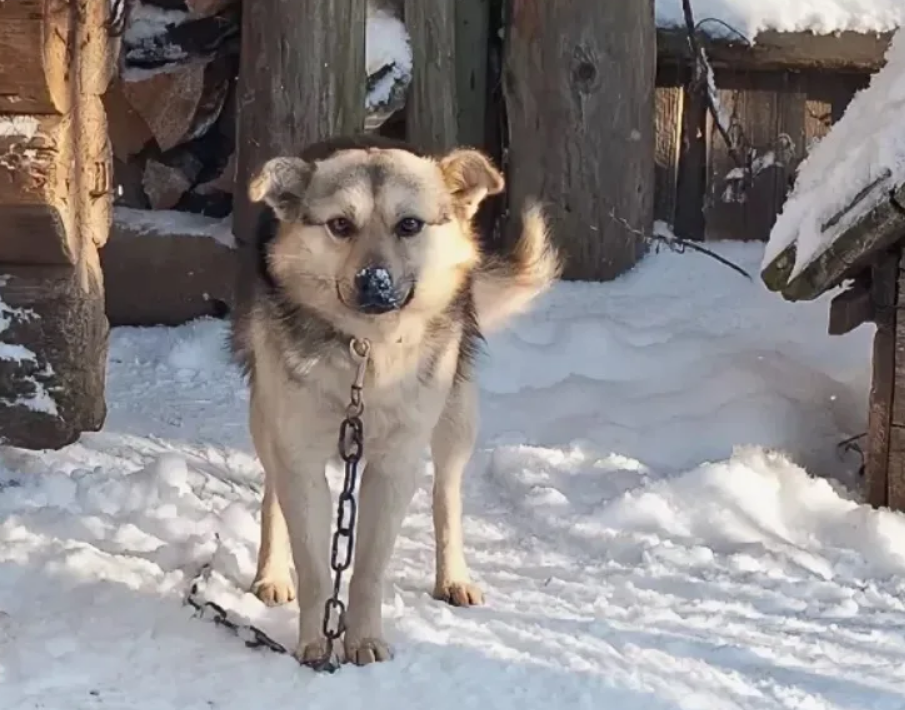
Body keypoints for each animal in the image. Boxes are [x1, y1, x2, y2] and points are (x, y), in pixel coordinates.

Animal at [230, 134, 560, 668]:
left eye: (409, 225)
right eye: (340, 225)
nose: (374, 281)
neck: (366, 350)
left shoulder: (395, 462)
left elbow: (367, 568)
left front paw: (363, 639)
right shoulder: (298, 453)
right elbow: (314, 563)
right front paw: (316, 641)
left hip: (456, 417)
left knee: (447, 495)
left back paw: (453, 577)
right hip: (265, 418)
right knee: (272, 495)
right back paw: (272, 573)